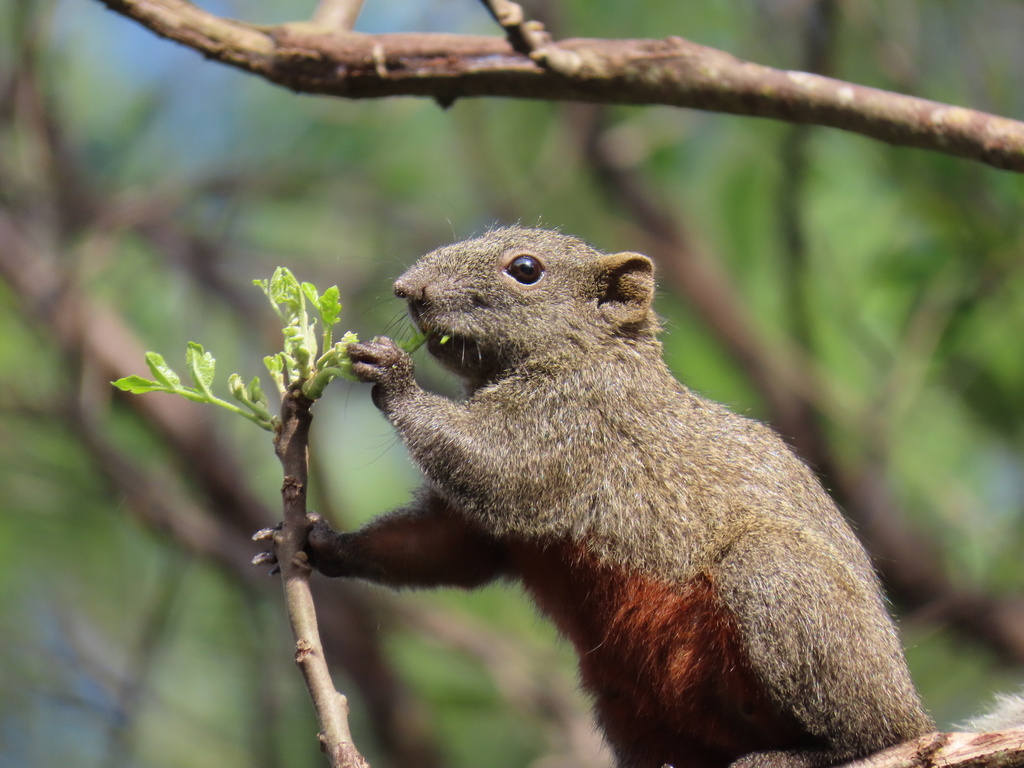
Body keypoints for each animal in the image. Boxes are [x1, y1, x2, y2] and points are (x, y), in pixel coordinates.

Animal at [273, 227, 936, 768]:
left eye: (526, 269)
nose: (407, 287)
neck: (587, 358)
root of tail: (913, 708)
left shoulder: (575, 432)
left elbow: (494, 467)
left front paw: (392, 374)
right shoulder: (482, 531)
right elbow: (440, 547)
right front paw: (313, 541)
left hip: (779, 580)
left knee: (871, 735)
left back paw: (807, 753)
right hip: (628, 705)